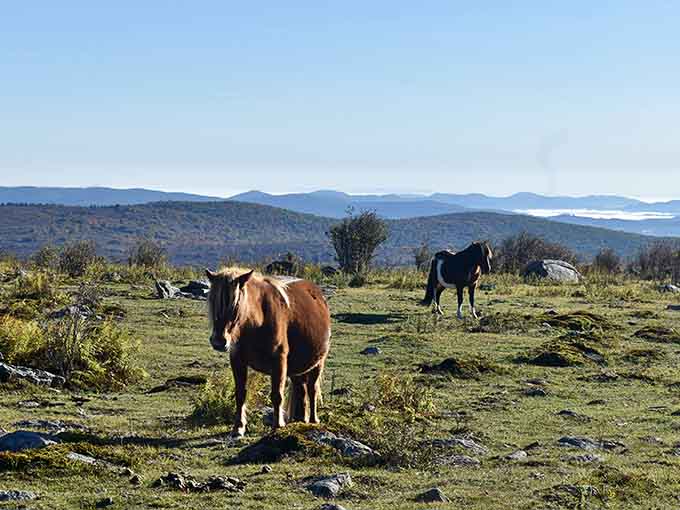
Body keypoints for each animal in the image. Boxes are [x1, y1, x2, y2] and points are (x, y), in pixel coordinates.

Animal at [205, 267, 331, 437]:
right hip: (297, 369)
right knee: (301, 390)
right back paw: (299, 420)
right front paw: (238, 428)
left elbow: (277, 395)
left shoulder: (279, 360)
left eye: (235, 304)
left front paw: (277, 425)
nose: (218, 341)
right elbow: (240, 394)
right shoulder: (237, 360)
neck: (255, 322)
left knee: (312, 390)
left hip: (317, 363)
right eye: (212, 301)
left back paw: (312, 420)